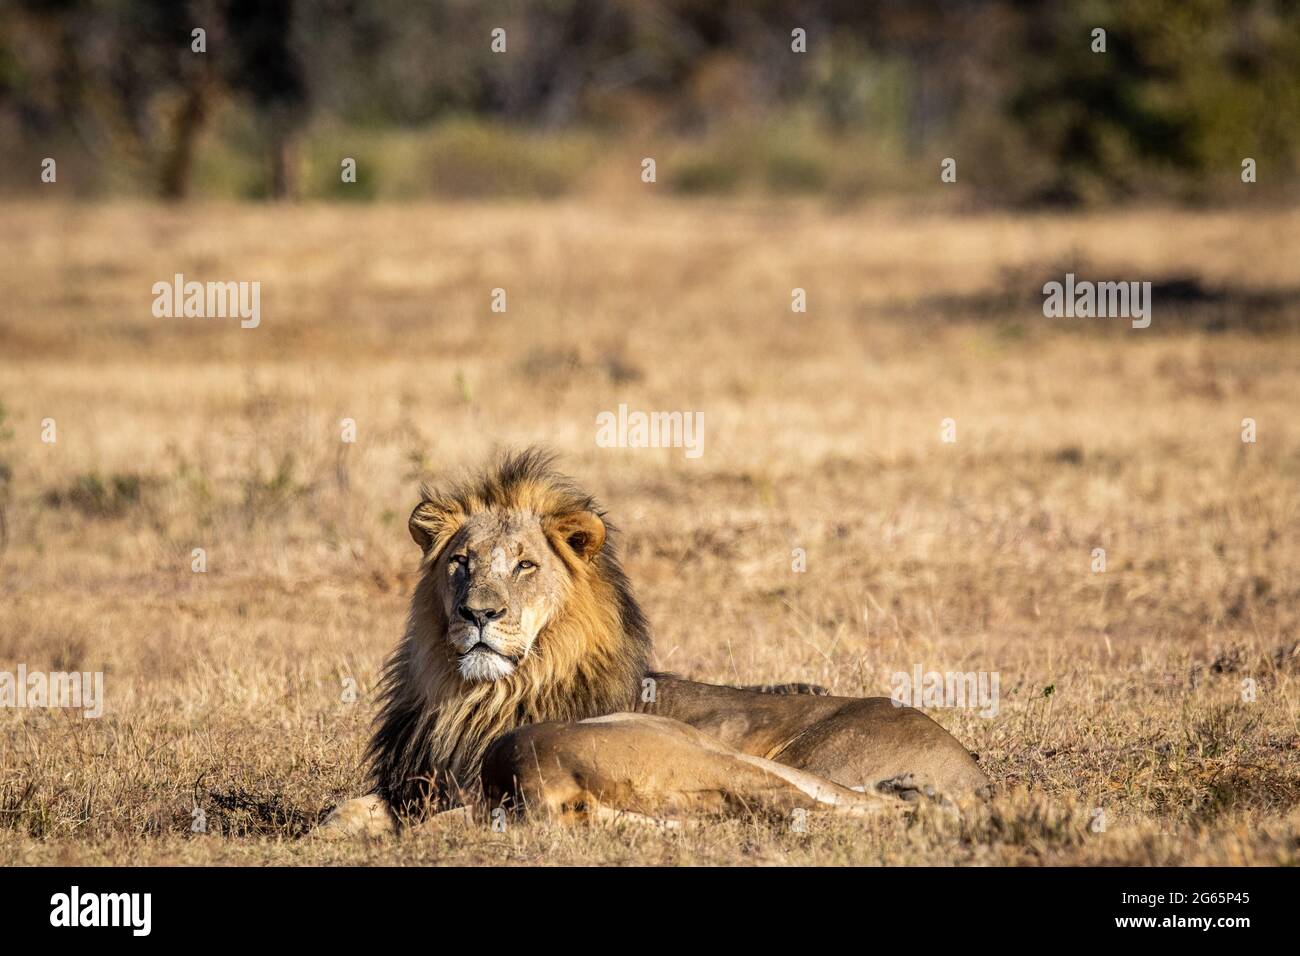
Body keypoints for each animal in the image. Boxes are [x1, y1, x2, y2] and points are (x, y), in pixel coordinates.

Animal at [320, 449, 988, 836]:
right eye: (461, 561)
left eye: (526, 565)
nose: (477, 613)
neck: (477, 697)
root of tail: (968, 765)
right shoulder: (414, 787)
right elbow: (344, 813)